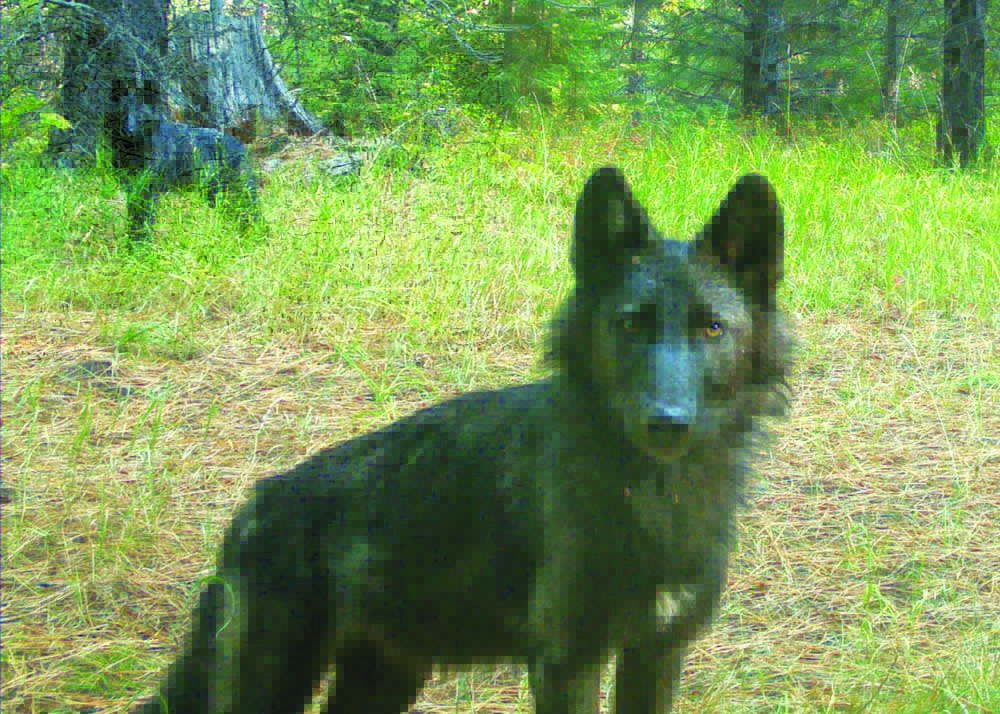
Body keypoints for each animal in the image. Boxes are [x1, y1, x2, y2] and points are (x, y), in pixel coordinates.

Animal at [107, 79, 261, 240]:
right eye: (124, 112)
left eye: (140, 113)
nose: (129, 132)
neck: (135, 150)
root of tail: (240, 144)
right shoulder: (132, 188)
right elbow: (134, 214)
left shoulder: (149, 189)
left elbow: (145, 216)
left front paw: (142, 240)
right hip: (214, 193)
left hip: (234, 190)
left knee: (251, 213)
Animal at [134, 166, 790, 714]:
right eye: (632, 323)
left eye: (712, 328)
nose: (667, 422)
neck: (656, 498)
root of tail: (256, 501)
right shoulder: (567, 663)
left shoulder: (656, 656)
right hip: (274, 687)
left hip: (384, 682)